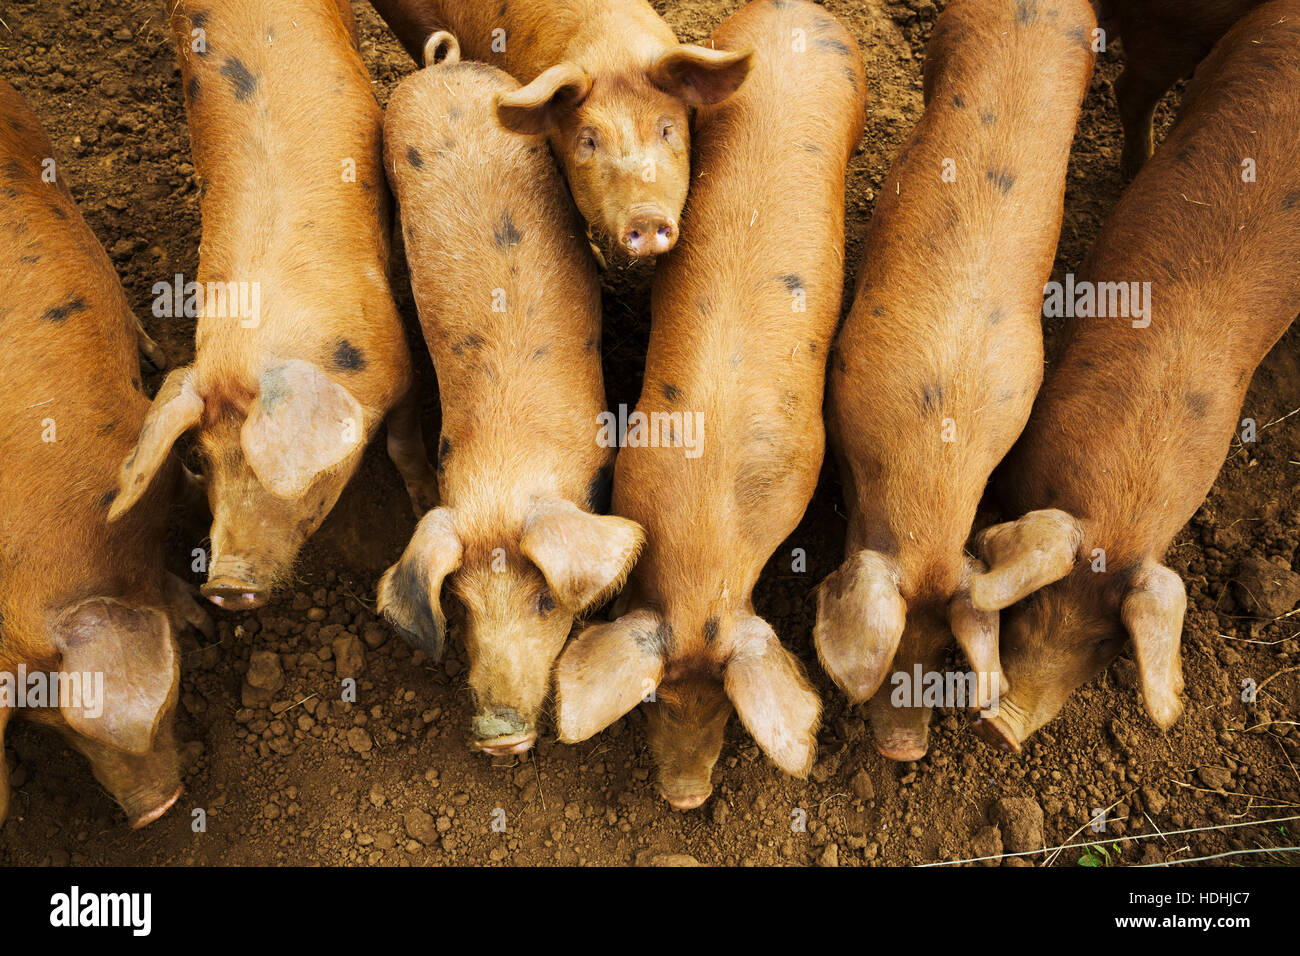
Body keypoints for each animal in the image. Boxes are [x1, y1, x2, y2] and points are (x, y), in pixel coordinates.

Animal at [109, 0, 439, 610]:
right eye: (203, 457)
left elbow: (404, 444)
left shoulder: (400, 362)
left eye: (278, 466)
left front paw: (426, 500)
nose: (224, 586)